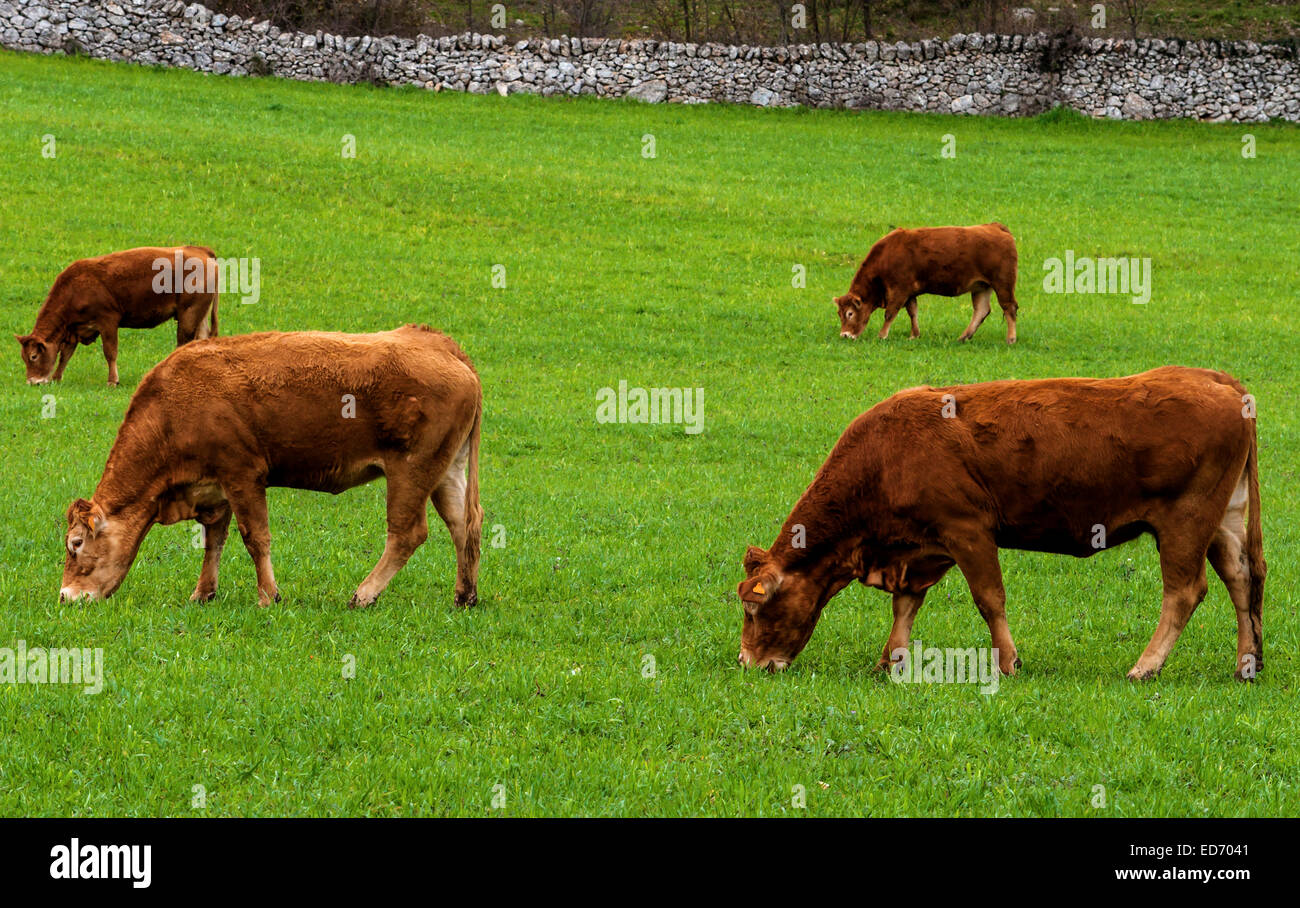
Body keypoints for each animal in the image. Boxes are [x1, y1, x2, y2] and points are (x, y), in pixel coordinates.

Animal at [15, 246, 219, 387]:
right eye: (24, 357)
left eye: (33, 356)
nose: (32, 382)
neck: (75, 288)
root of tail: (199, 250)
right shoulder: (74, 329)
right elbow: (65, 355)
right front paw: (57, 378)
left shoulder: (108, 321)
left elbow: (110, 352)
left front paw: (112, 380)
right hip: (197, 314)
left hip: (188, 313)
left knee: (184, 343)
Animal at [58, 325, 483, 611]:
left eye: (76, 544)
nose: (64, 596)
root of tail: (441, 344)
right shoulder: (216, 488)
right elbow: (214, 541)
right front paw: (203, 593)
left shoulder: (244, 475)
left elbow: (255, 537)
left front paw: (268, 596)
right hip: (447, 469)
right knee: (465, 524)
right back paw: (465, 595)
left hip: (411, 471)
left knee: (407, 533)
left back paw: (364, 594)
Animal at [736, 367, 1264, 682]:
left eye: (754, 606)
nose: (746, 661)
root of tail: (1215, 379)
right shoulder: (920, 548)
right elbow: (905, 606)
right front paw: (892, 658)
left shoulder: (967, 529)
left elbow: (989, 599)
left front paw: (1008, 661)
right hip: (1224, 519)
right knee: (1243, 581)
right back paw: (1247, 663)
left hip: (1186, 521)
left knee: (1185, 591)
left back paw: (1145, 666)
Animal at [834, 223, 1019, 344]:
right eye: (839, 314)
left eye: (850, 313)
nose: (844, 335)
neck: (886, 257)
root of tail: (995, 227)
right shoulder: (909, 293)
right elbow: (912, 312)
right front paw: (914, 335)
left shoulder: (899, 291)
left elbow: (890, 313)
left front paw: (882, 335)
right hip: (981, 286)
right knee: (981, 310)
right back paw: (963, 337)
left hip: (1002, 283)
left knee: (1009, 307)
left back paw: (1011, 338)